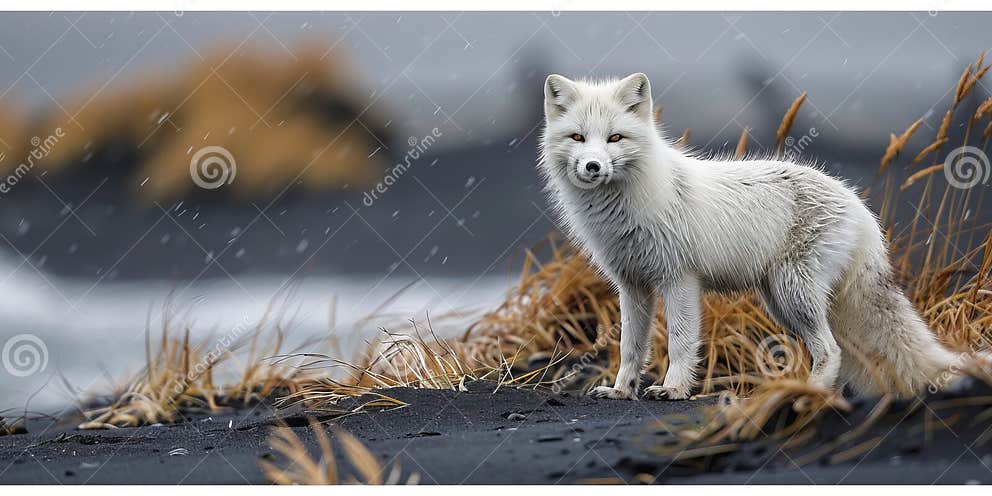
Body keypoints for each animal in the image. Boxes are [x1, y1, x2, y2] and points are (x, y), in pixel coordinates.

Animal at [538, 72, 971, 401]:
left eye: (615, 138)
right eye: (578, 138)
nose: (593, 167)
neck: (626, 208)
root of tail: (858, 203)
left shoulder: (680, 280)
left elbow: (680, 342)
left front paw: (674, 389)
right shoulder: (632, 284)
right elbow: (630, 347)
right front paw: (621, 391)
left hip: (794, 293)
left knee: (830, 350)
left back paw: (808, 392)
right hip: (782, 301)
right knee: (841, 350)